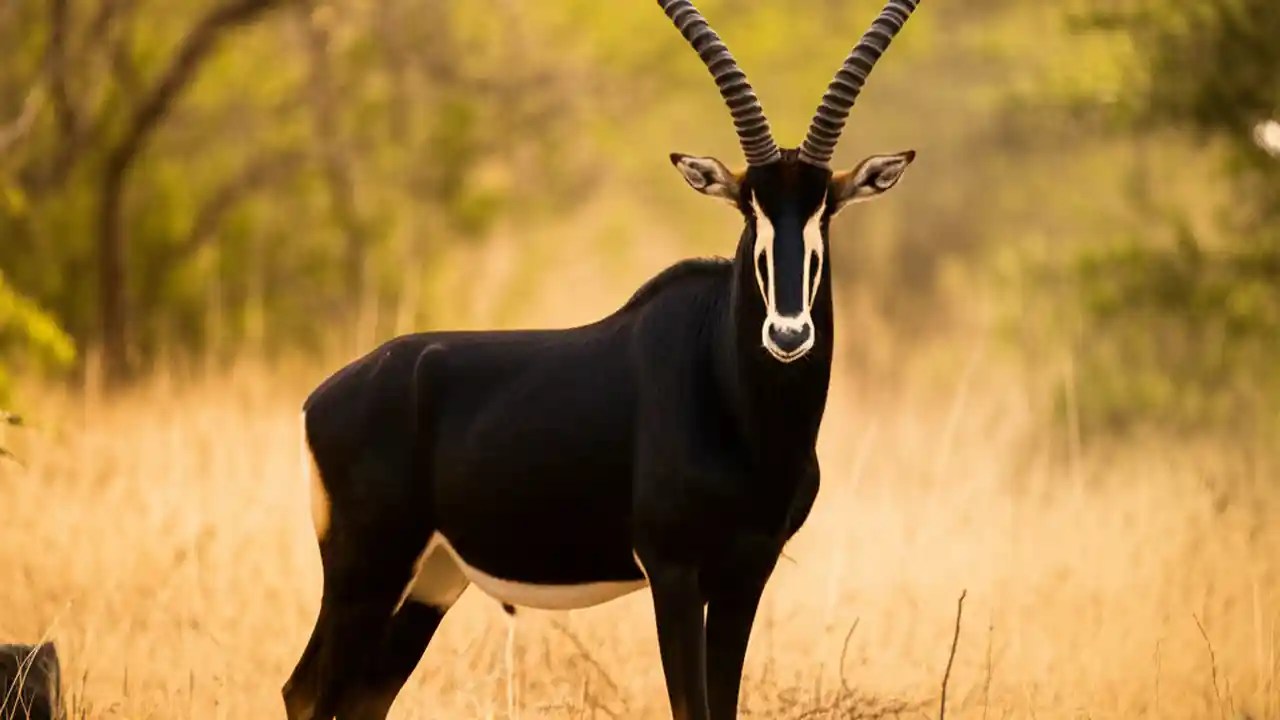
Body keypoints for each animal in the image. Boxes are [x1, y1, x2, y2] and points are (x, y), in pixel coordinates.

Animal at [282, 1, 920, 718]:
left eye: (823, 211)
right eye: (749, 208)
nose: (787, 334)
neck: (738, 407)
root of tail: (324, 398)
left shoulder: (745, 573)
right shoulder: (673, 571)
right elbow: (690, 705)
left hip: (431, 580)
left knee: (361, 694)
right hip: (365, 570)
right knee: (308, 690)